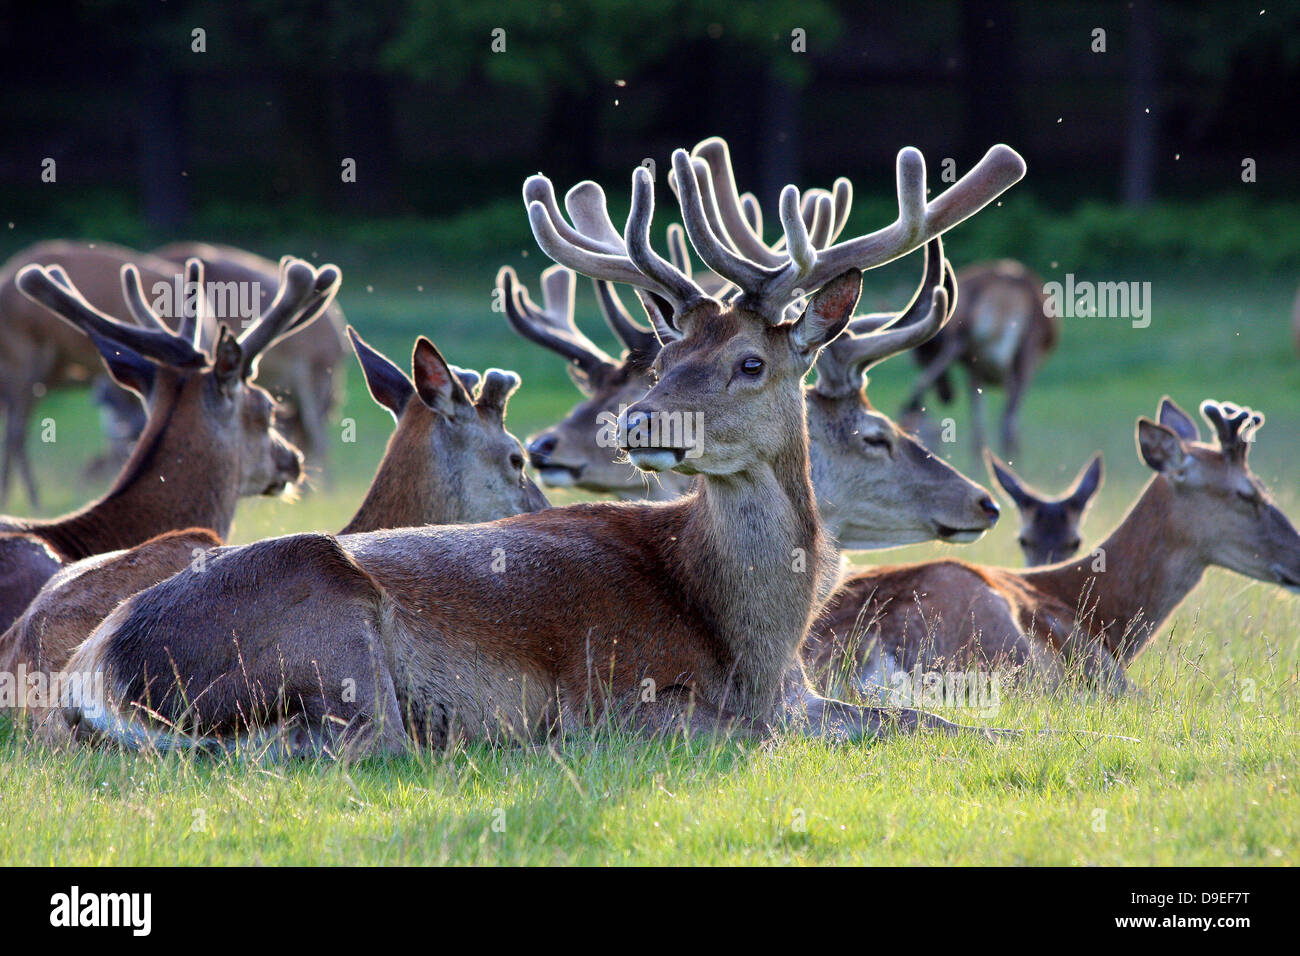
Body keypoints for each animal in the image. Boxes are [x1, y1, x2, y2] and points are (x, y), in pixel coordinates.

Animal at [57, 139, 1027, 757]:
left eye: (750, 362)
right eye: (665, 359)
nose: (640, 426)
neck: (750, 639)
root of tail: (94, 674)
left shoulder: (801, 694)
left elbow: (929, 722)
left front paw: (1031, 732)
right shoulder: (625, 695)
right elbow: (742, 734)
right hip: (332, 627)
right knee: (339, 745)